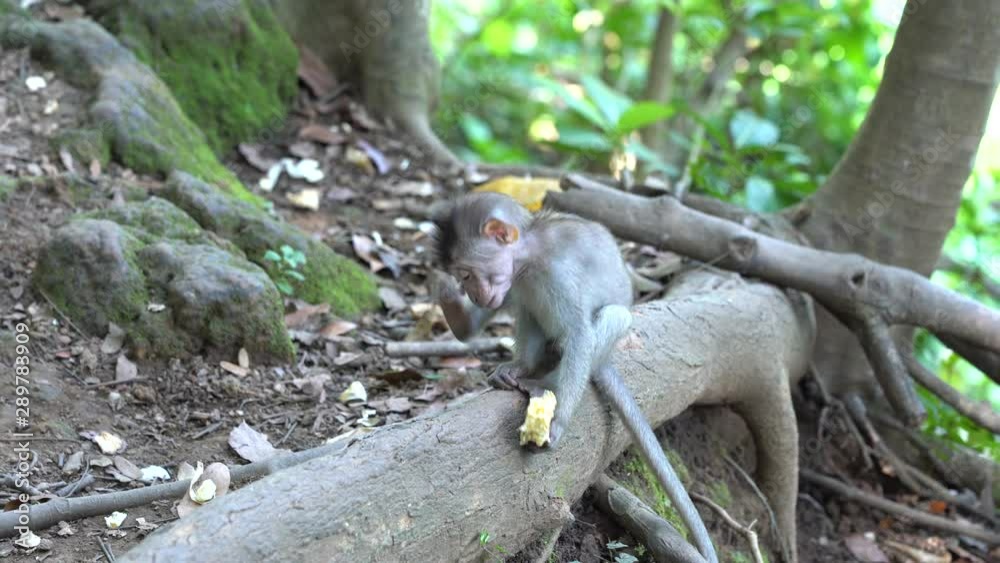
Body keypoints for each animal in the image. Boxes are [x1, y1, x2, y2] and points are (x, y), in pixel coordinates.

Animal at [432, 192, 718, 563]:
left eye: (468, 273)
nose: (474, 294)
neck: (530, 255)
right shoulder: (513, 280)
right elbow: (477, 326)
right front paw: (450, 303)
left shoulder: (556, 274)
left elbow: (580, 333)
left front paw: (558, 421)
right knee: (528, 310)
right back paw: (523, 367)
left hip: (600, 344)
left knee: (609, 317)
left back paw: (545, 382)